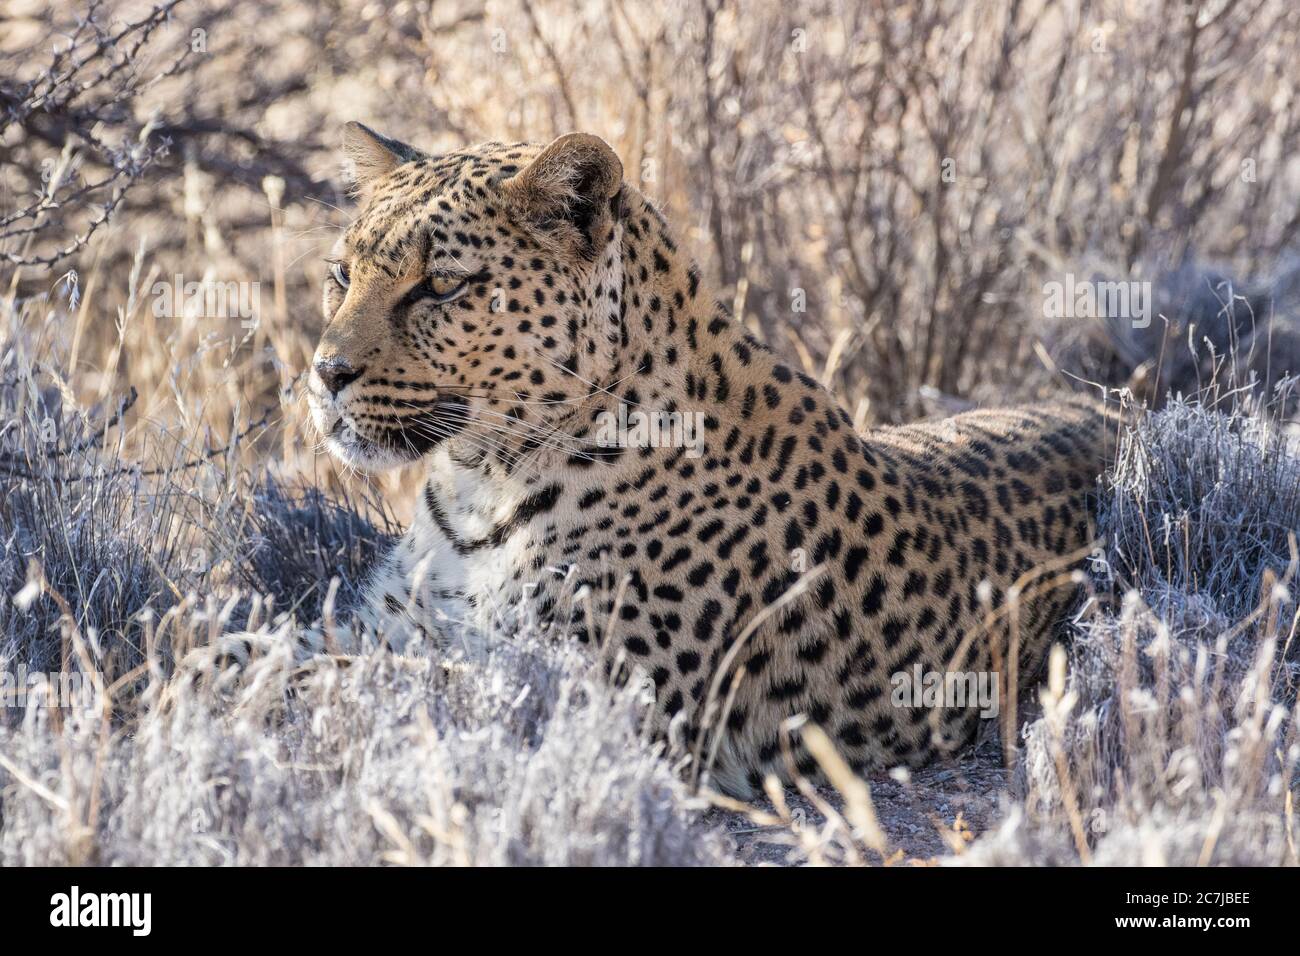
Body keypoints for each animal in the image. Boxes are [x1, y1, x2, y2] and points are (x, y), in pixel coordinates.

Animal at [303, 122, 1117, 798]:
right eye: (341, 274)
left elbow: (340, 685)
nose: (325, 373)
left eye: (442, 285)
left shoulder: (576, 695)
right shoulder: (382, 629)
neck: (480, 485)